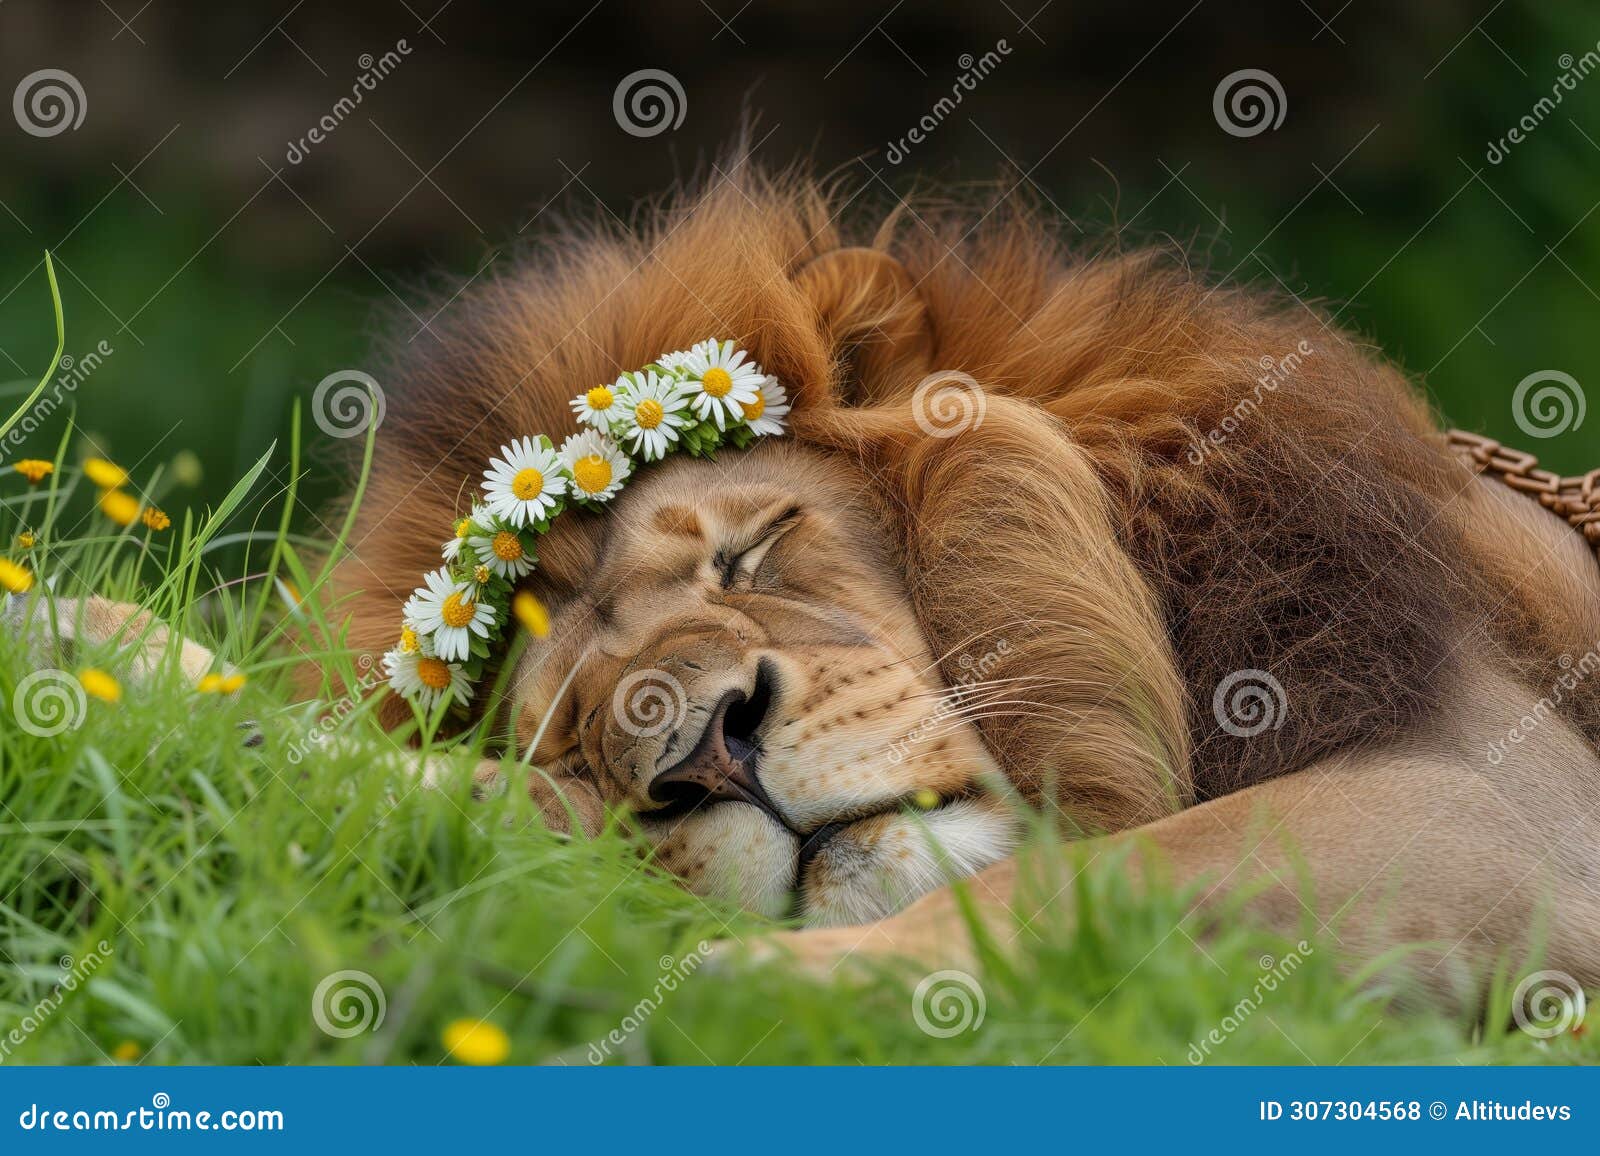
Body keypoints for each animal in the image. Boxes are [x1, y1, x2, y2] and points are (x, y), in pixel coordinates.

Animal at [54, 165, 1600, 1001]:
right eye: (564, 729)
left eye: (748, 551)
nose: (700, 749)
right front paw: (128, 664)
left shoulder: (1494, 805)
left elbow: (1061, 890)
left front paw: (666, 988)